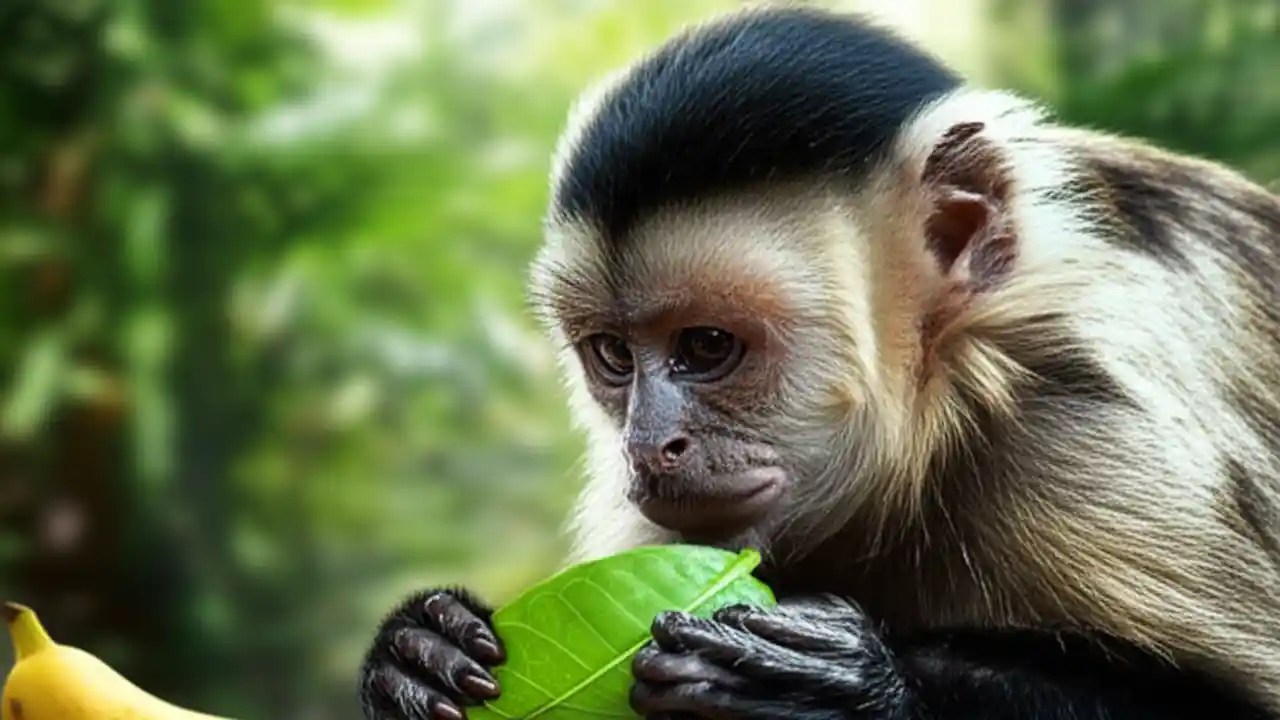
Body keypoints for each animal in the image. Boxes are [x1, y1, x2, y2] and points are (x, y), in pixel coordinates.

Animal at [358, 6, 1280, 720]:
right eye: (615, 356)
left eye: (707, 347)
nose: (648, 446)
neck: (945, 411)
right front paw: (417, 648)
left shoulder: (1089, 426)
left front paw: (862, 683)